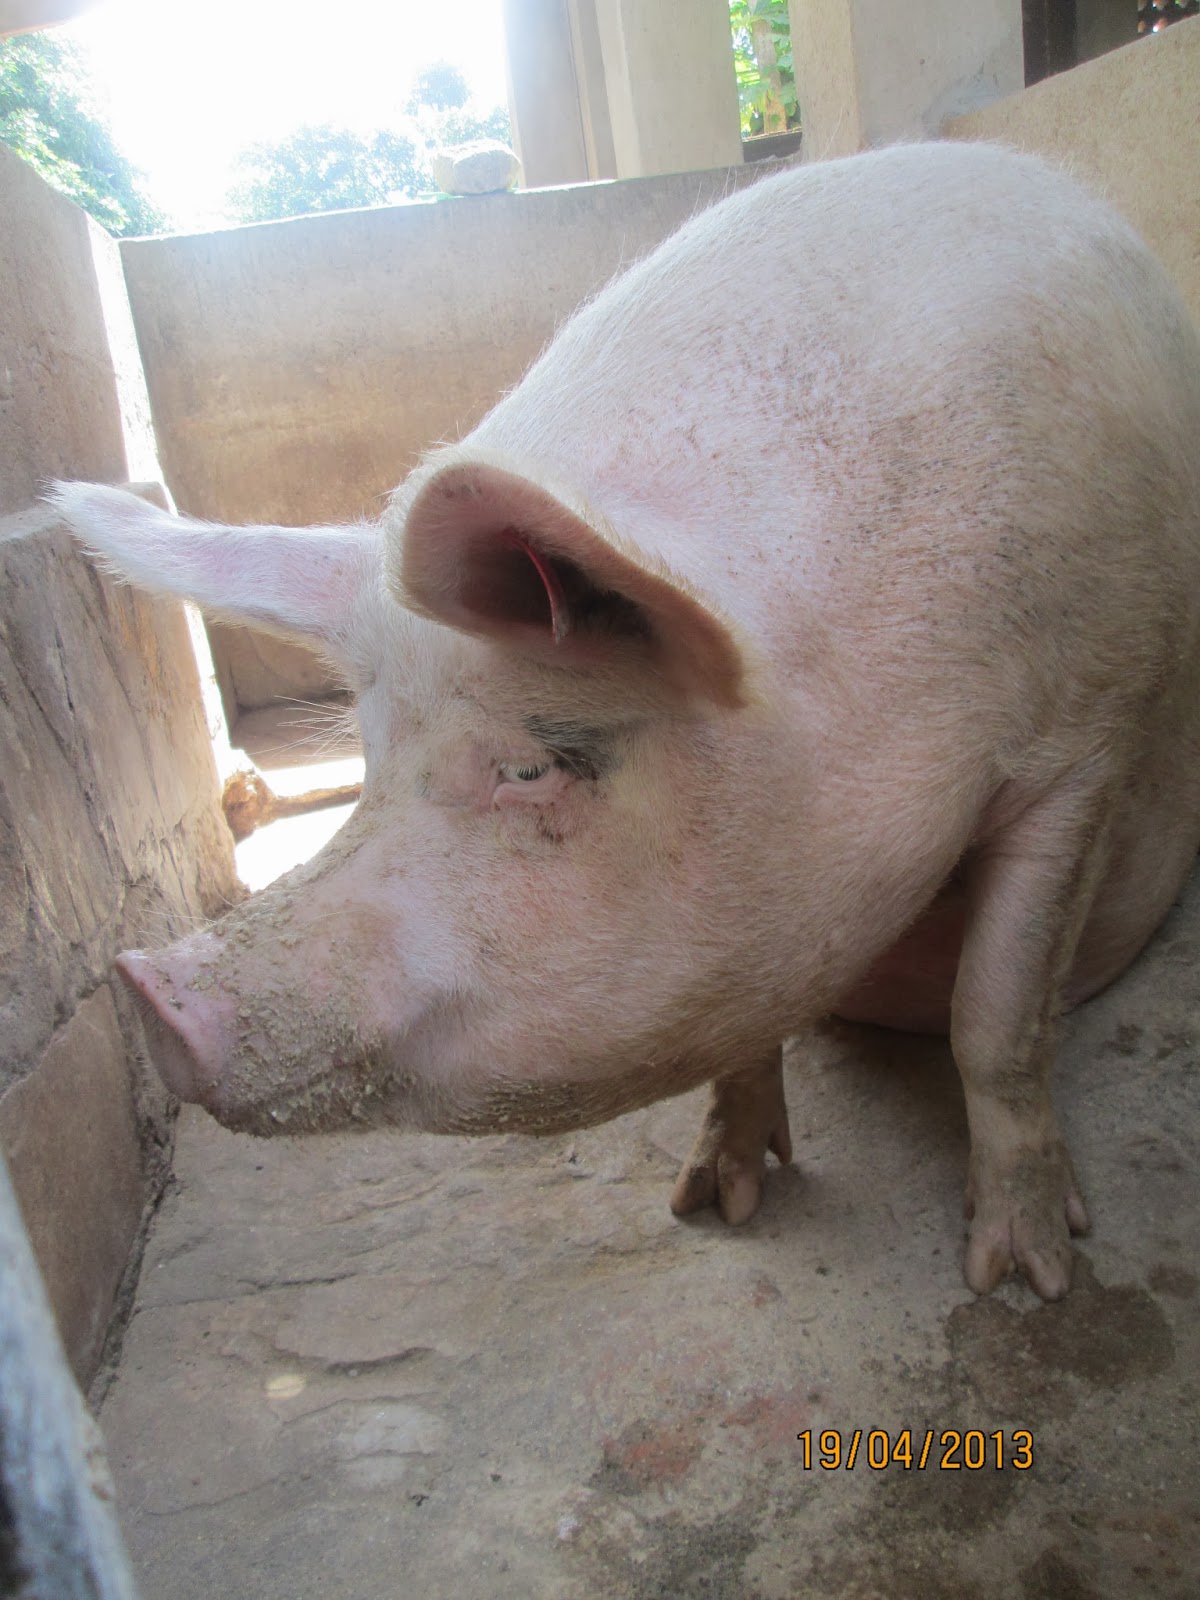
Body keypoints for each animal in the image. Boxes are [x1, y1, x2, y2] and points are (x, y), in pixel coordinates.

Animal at [47, 141, 1200, 1302]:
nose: (149, 987)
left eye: (529, 768)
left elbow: (995, 1015)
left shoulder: (1088, 734)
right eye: (374, 758)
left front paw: (1026, 1278)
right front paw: (711, 1207)